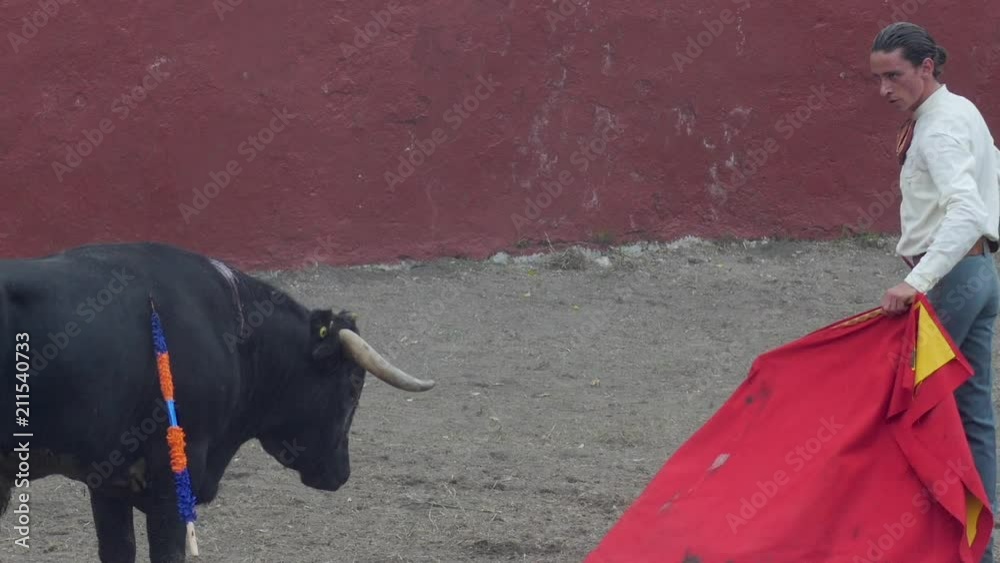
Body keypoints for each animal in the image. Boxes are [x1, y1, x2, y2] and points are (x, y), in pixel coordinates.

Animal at [0, 241, 435, 562]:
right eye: (353, 384)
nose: (341, 474)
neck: (233, 334)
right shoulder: (174, 471)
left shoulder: (107, 479)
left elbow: (118, 550)